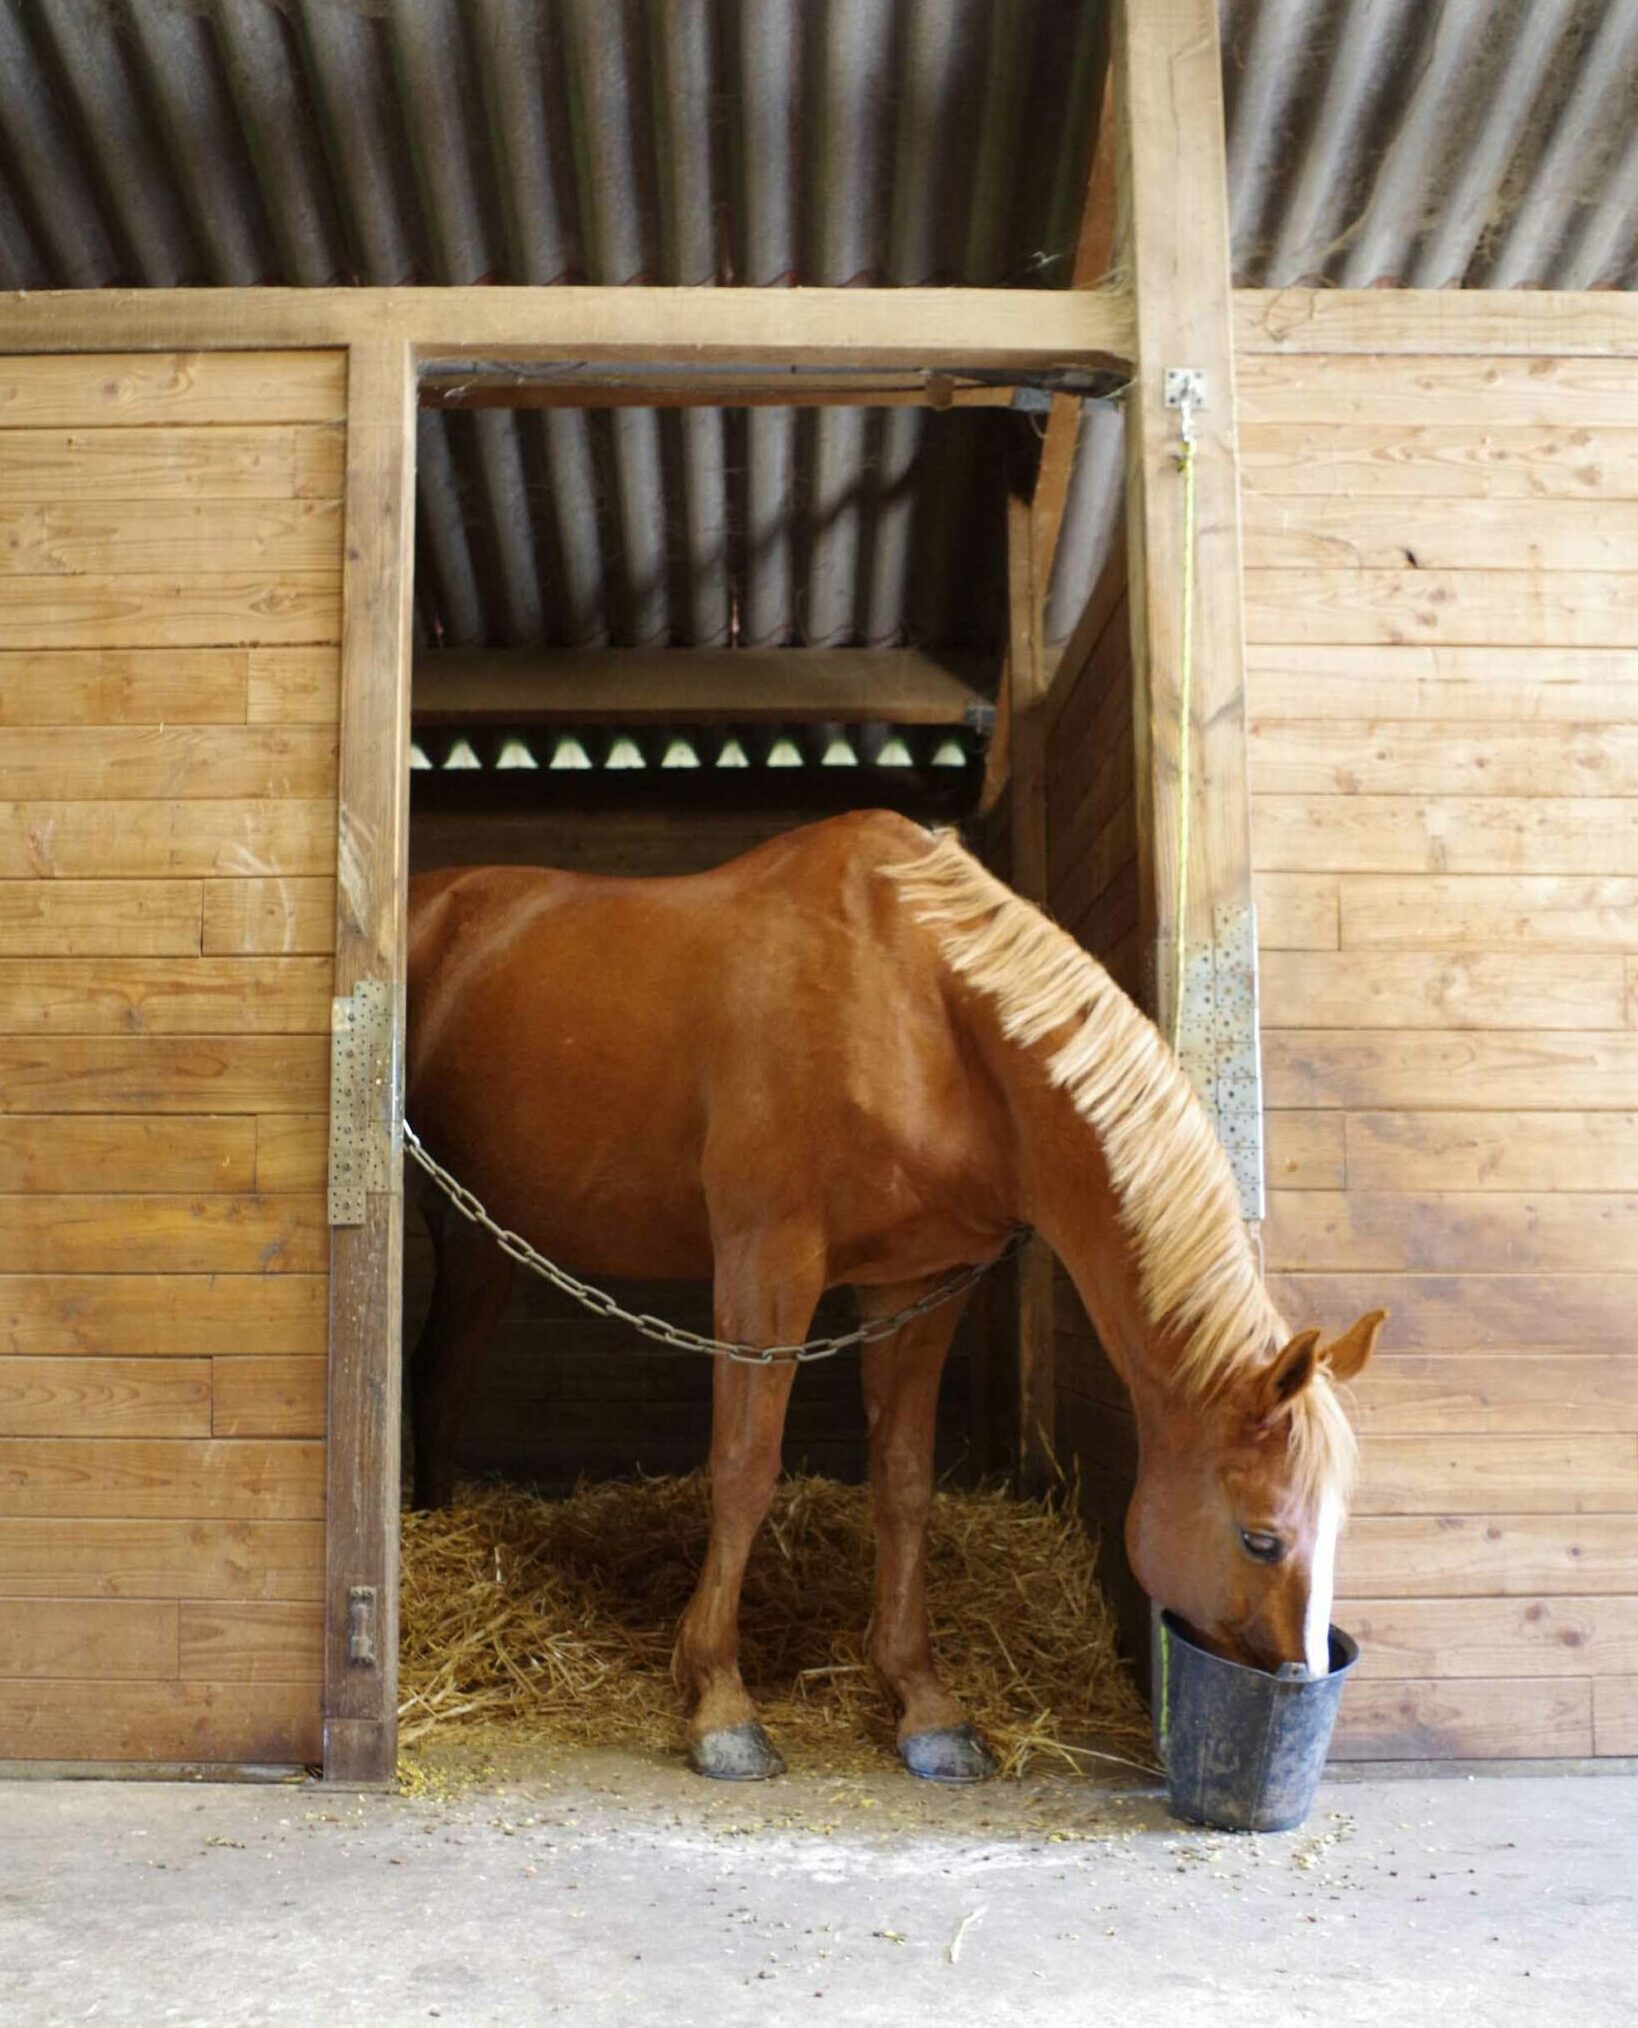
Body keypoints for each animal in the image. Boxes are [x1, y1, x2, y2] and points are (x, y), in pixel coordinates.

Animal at [405, 809, 1384, 1784]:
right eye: (1261, 1537)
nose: (1301, 1682)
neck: (921, 1012)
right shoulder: (768, 1261)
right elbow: (744, 1467)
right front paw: (719, 1700)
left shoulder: (917, 1284)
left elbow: (905, 1482)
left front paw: (924, 1703)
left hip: (482, 1232)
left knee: (441, 1379)